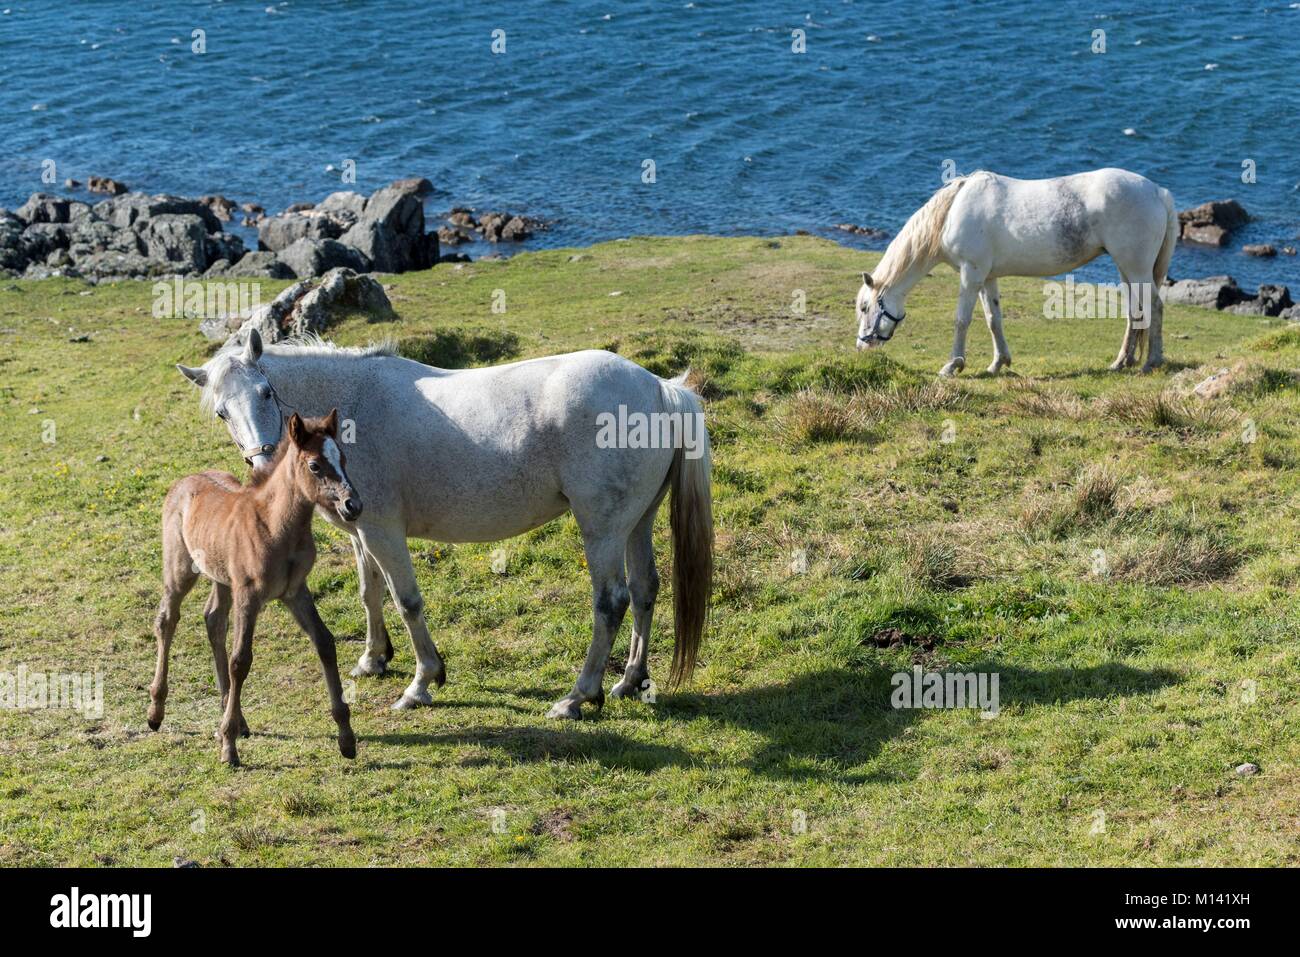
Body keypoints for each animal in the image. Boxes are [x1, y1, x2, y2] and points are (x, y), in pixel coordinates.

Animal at [148, 409, 362, 766]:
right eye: (315, 465)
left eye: (343, 458)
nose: (353, 505)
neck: (276, 526)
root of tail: (185, 480)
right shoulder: (248, 595)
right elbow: (240, 660)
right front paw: (228, 746)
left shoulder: (295, 591)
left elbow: (325, 643)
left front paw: (346, 738)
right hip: (180, 569)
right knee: (167, 619)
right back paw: (156, 711)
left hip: (222, 577)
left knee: (213, 619)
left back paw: (234, 716)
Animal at [176, 331, 714, 719]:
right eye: (222, 412)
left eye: (267, 392)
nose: (265, 467)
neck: (353, 407)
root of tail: (660, 388)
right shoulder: (363, 534)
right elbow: (370, 593)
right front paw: (374, 659)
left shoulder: (382, 531)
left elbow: (406, 601)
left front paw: (422, 682)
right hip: (636, 524)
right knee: (644, 590)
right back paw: (628, 680)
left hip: (601, 531)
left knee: (612, 602)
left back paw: (579, 696)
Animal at [854, 168, 1178, 375]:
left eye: (865, 307)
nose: (862, 345)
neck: (951, 214)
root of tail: (1157, 191)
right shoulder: (987, 277)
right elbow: (993, 319)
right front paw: (998, 363)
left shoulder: (971, 274)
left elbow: (962, 320)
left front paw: (952, 365)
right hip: (1127, 269)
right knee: (1135, 312)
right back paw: (1122, 362)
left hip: (1135, 266)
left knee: (1155, 307)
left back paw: (1151, 362)